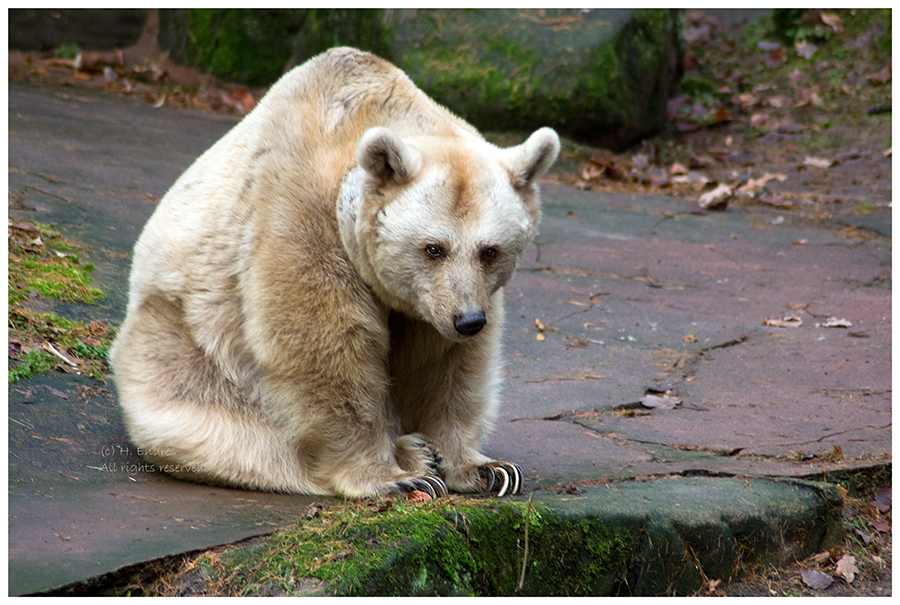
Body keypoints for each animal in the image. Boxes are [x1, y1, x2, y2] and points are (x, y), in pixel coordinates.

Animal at [109, 47, 560, 499]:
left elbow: (444, 363)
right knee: (240, 436)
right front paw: (392, 476)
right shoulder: (299, 210)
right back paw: (411, 453)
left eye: (490, 251)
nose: (468, 319)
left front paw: (485, 467)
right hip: (185, 360)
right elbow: (323, 342)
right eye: (434, 248)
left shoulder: (434, 307)